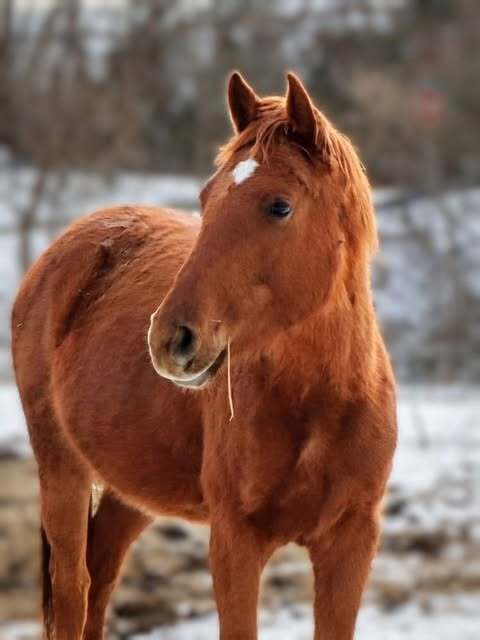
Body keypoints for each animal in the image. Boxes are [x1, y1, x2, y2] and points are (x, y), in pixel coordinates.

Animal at [11, 72, 397, 640]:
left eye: (279, 205)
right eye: (206, 196)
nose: (171, 338)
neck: (320, 404)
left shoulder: (350, 542)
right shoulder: (235, 541)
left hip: (130, 492)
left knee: (100, 581)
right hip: (60, 468)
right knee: (73, 592)